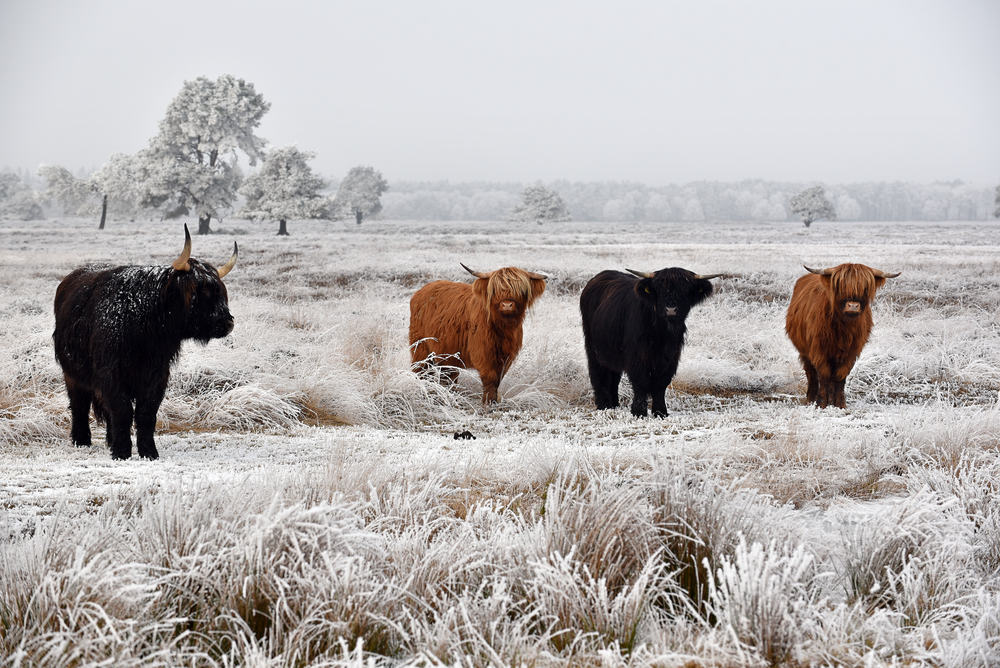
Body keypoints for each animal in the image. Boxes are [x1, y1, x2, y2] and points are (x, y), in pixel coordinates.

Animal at [53, 224, 237, 460]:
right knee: (79, 404)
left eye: (222, 291)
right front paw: (122, 452)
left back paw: (109, 440)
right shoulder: (110, 373)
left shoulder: (157, 375)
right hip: (72, 373)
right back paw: (81, 440)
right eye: (199, 290)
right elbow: (122, 410)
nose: (227, 322)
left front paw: (148, 451)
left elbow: (146, 413)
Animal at [409, 263, 546, 404]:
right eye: (494, 290)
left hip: (447, 351)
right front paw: (488, 402)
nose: (507, 305)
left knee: (448, 373)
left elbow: (498, 379)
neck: (503, 328)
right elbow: (490, 378)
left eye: (521, 290)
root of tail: (422, 290)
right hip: (420, 346)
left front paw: (494, 401)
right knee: (422, 368)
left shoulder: (507, 356)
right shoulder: (482, 351)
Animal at [580, 267, 723, 417]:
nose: (671, 309)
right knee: (597, 373)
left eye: (685, 289)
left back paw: (614, 404)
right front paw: (639, 412)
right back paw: (604, 405)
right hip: (592, 347)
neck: (661, 333)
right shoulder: (637, 356)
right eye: (660, 289)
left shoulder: (671, 357)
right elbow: (641, 382)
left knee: (614, 376)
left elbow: (661, 384)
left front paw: (660, 412)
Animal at [785, 263, 900, 408]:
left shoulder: (851, 352)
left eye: (865, 288)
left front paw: (840, 404)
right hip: (804, 350)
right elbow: (824, 375)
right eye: (841, 287)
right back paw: (811, 398)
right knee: (811, 373)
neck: (844, 329)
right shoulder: (818, 350)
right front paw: (822, 404)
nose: (853, 306)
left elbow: (840, 376)